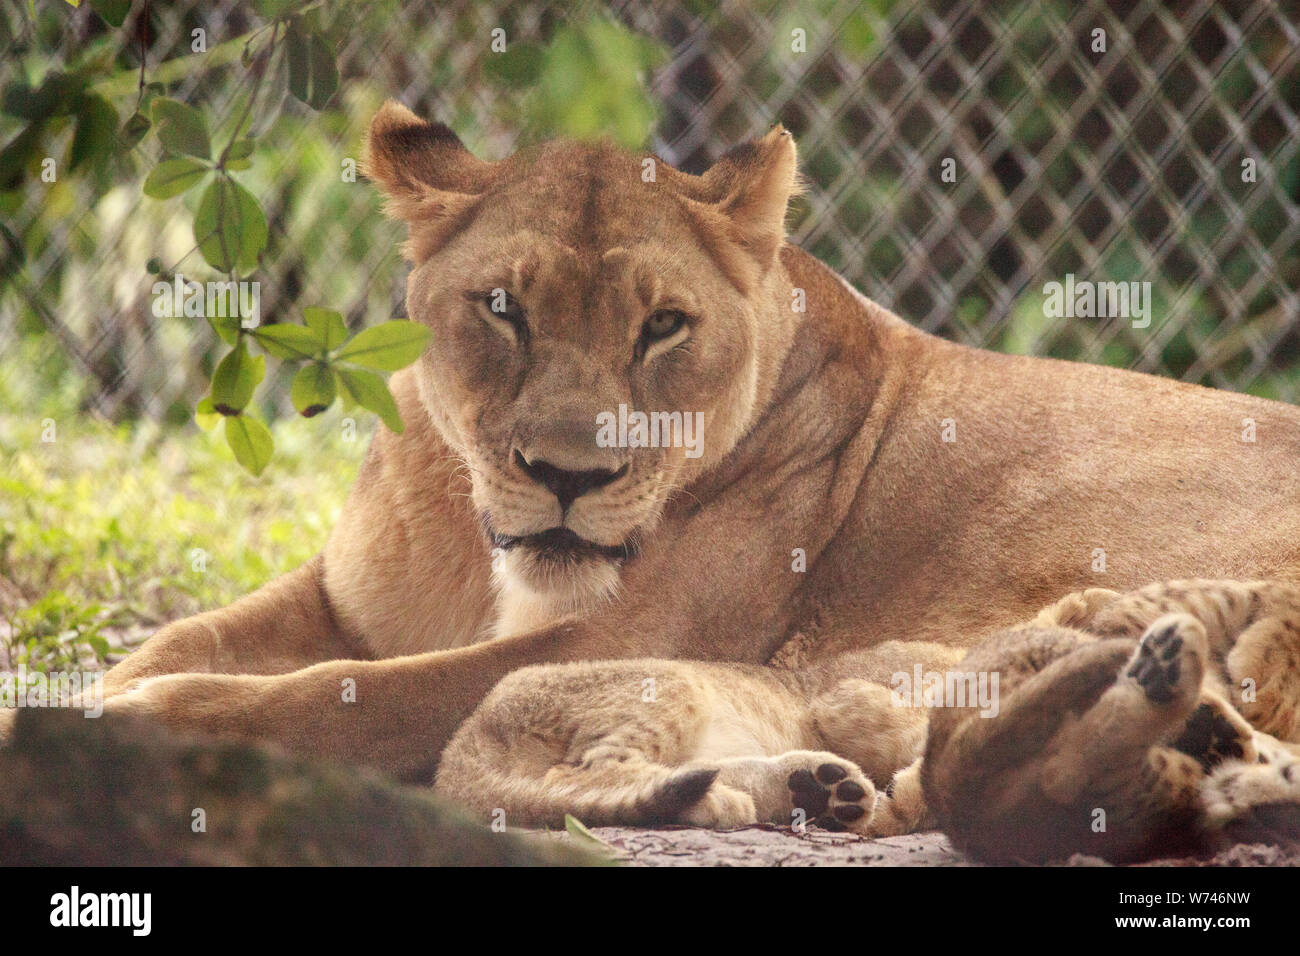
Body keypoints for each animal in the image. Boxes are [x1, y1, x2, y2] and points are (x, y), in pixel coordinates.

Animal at [17, 102, 1299, 801]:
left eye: (664, 326)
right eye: (503, 307)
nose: (568, 477)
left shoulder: (625, 639)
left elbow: (344, 699)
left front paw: (127, 722)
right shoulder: (344, 600)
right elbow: (188, 638)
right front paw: (100, 692)